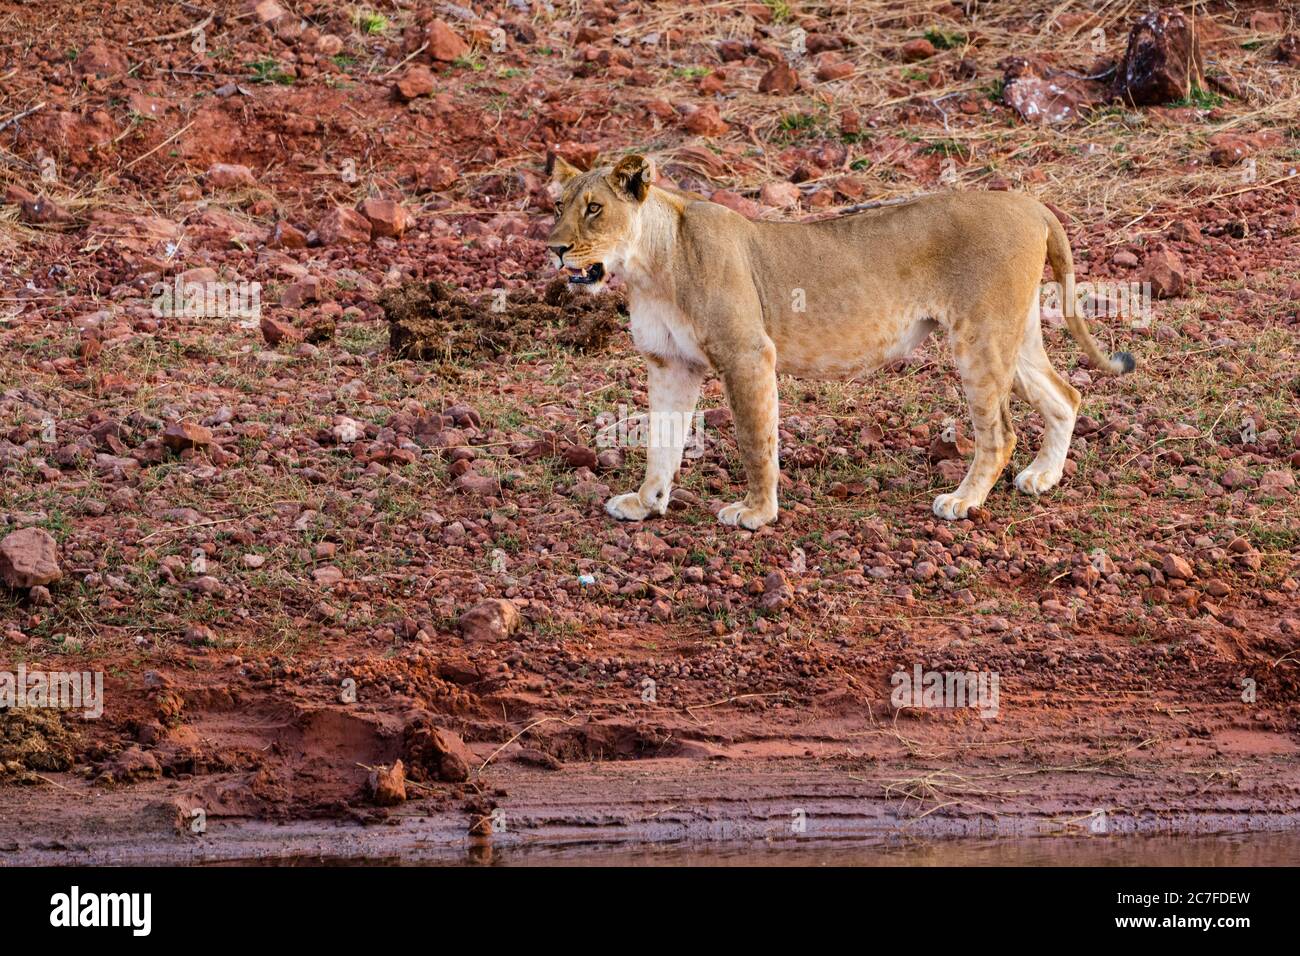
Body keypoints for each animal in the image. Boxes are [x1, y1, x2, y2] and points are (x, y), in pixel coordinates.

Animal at [546, 153, 1134, 530]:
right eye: (559, 206)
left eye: (594, 208)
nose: (554, 248)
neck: (649, 267)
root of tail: (1031, 205)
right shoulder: (670, 363)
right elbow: (660, 442)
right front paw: (647, 503)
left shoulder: (747, 354)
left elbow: (755, 441)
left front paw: (756, 514)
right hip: (1016, 332)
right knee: (1065, 395)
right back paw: (1043, 477)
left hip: (980, 338)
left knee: (1001, 432)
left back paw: (963, 501)